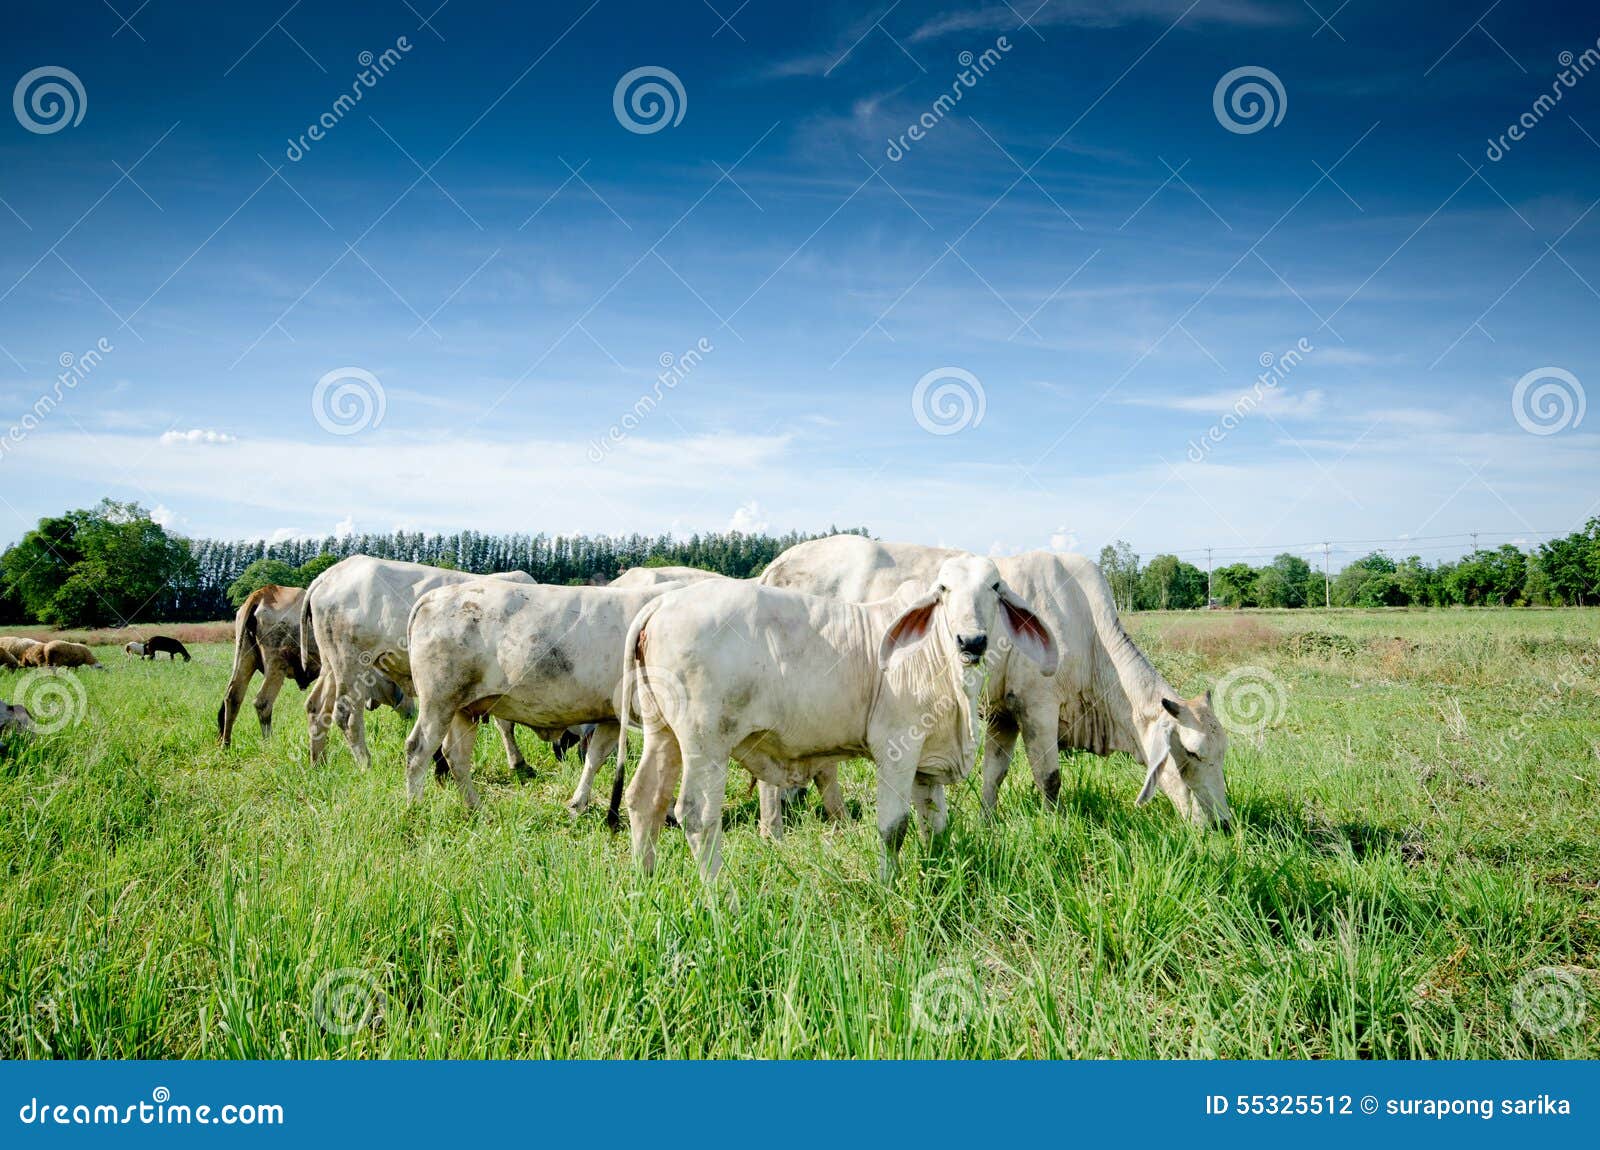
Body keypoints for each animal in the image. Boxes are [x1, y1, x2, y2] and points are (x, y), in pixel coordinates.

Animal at [218, 584, 320, 747]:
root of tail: (265, 591)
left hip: (245, 657)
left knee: (233, 698)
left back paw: (226, 745)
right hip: (276, 665)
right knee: (263, 702)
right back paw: (269, 745)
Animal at [300, 556, 542, 771]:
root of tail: (327, 576)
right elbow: (506, 724)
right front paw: (518, 763)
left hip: (331, 665)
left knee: (316, 707)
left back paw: (317, 763)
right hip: (352, 665)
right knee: (346, 716)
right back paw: (366, 766)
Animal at [403, 580, 688, 813]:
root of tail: (432, 597)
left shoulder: (611, 717)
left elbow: (595, 758)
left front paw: (578, 804)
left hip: (466, 708)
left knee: (456, 756)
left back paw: (476, 807)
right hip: (439, 701)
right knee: (418, 750)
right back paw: (415, 807)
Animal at [620, 555, 1059, 881]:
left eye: (995, 587)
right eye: (943, 589)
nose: (972, 641)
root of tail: (661, 604)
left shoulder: (927, 764)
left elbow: (933, 826)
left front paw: (935, 875)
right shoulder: (896, 747)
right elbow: (893, 827)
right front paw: (888, 884)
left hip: (663, 734)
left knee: (645, 799)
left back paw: (645, 881)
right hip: (704, 742)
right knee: (696, 816)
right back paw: (721, 898)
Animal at [760, 536, 1232, 828]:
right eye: (1192, 753)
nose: (1224, 825)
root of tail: (776, 565)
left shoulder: (1002, 711)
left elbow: (994, 774)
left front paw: (988, 821)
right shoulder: (1037, 705)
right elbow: (1049, 777)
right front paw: (1055, 826)